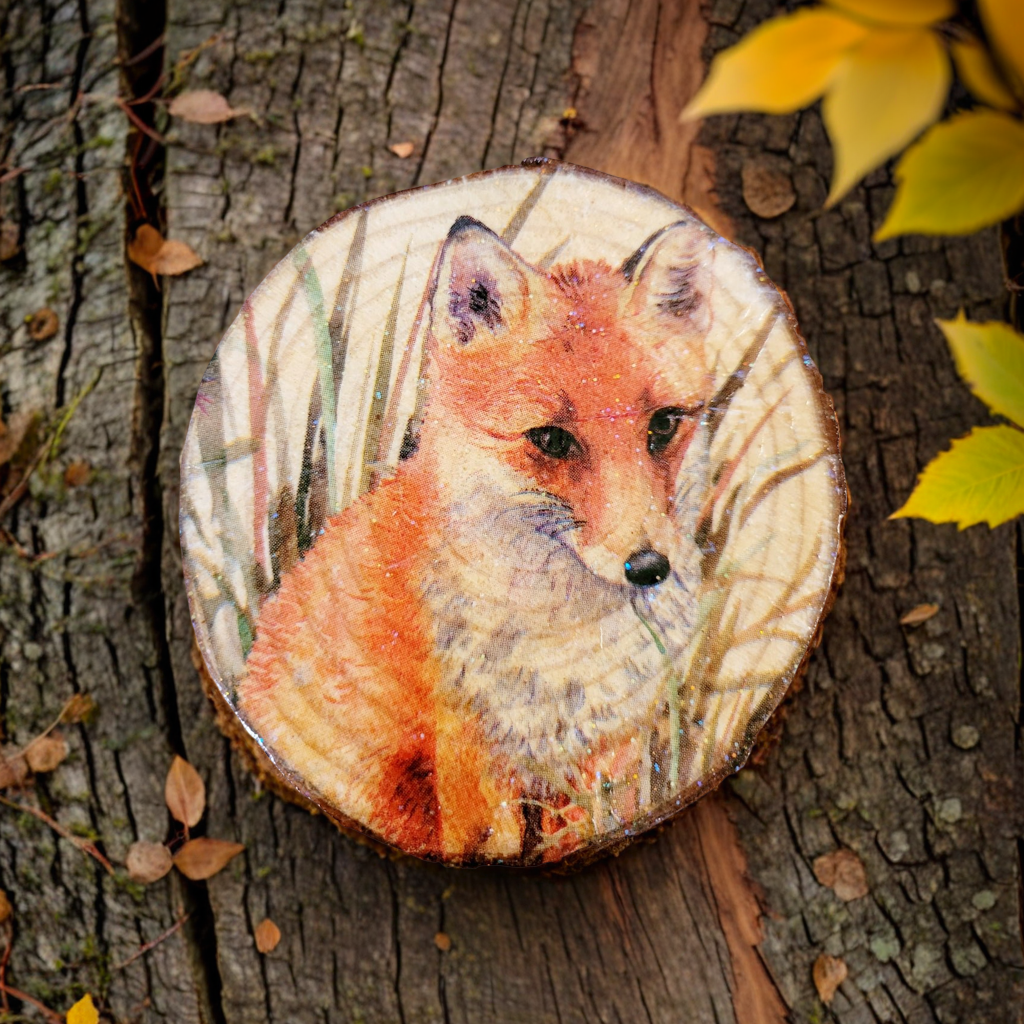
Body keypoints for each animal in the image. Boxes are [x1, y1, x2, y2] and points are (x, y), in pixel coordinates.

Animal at [239, 214, 717, 864]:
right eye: (550, 439)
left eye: (664, 424)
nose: (648, 567)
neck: (567, 644)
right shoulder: (469, 755)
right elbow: (488, 845)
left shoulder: (607, 753)